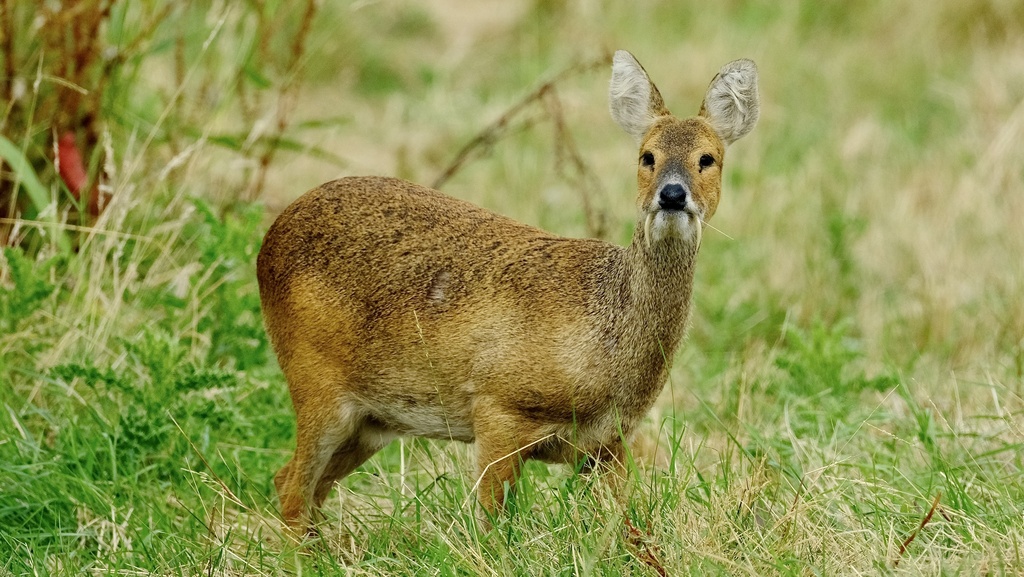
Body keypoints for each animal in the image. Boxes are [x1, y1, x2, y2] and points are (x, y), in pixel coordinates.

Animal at [257, 50, 759, 532]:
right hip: (316, 382)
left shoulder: (611, 443)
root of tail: (268, 242)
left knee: (299, 485)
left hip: (371, 420)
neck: (603, 333)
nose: (672, 194)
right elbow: (492, 525)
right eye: (647, 156)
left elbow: (626, 523)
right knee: (293, 488)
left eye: (708, 159)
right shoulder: (498, 408)